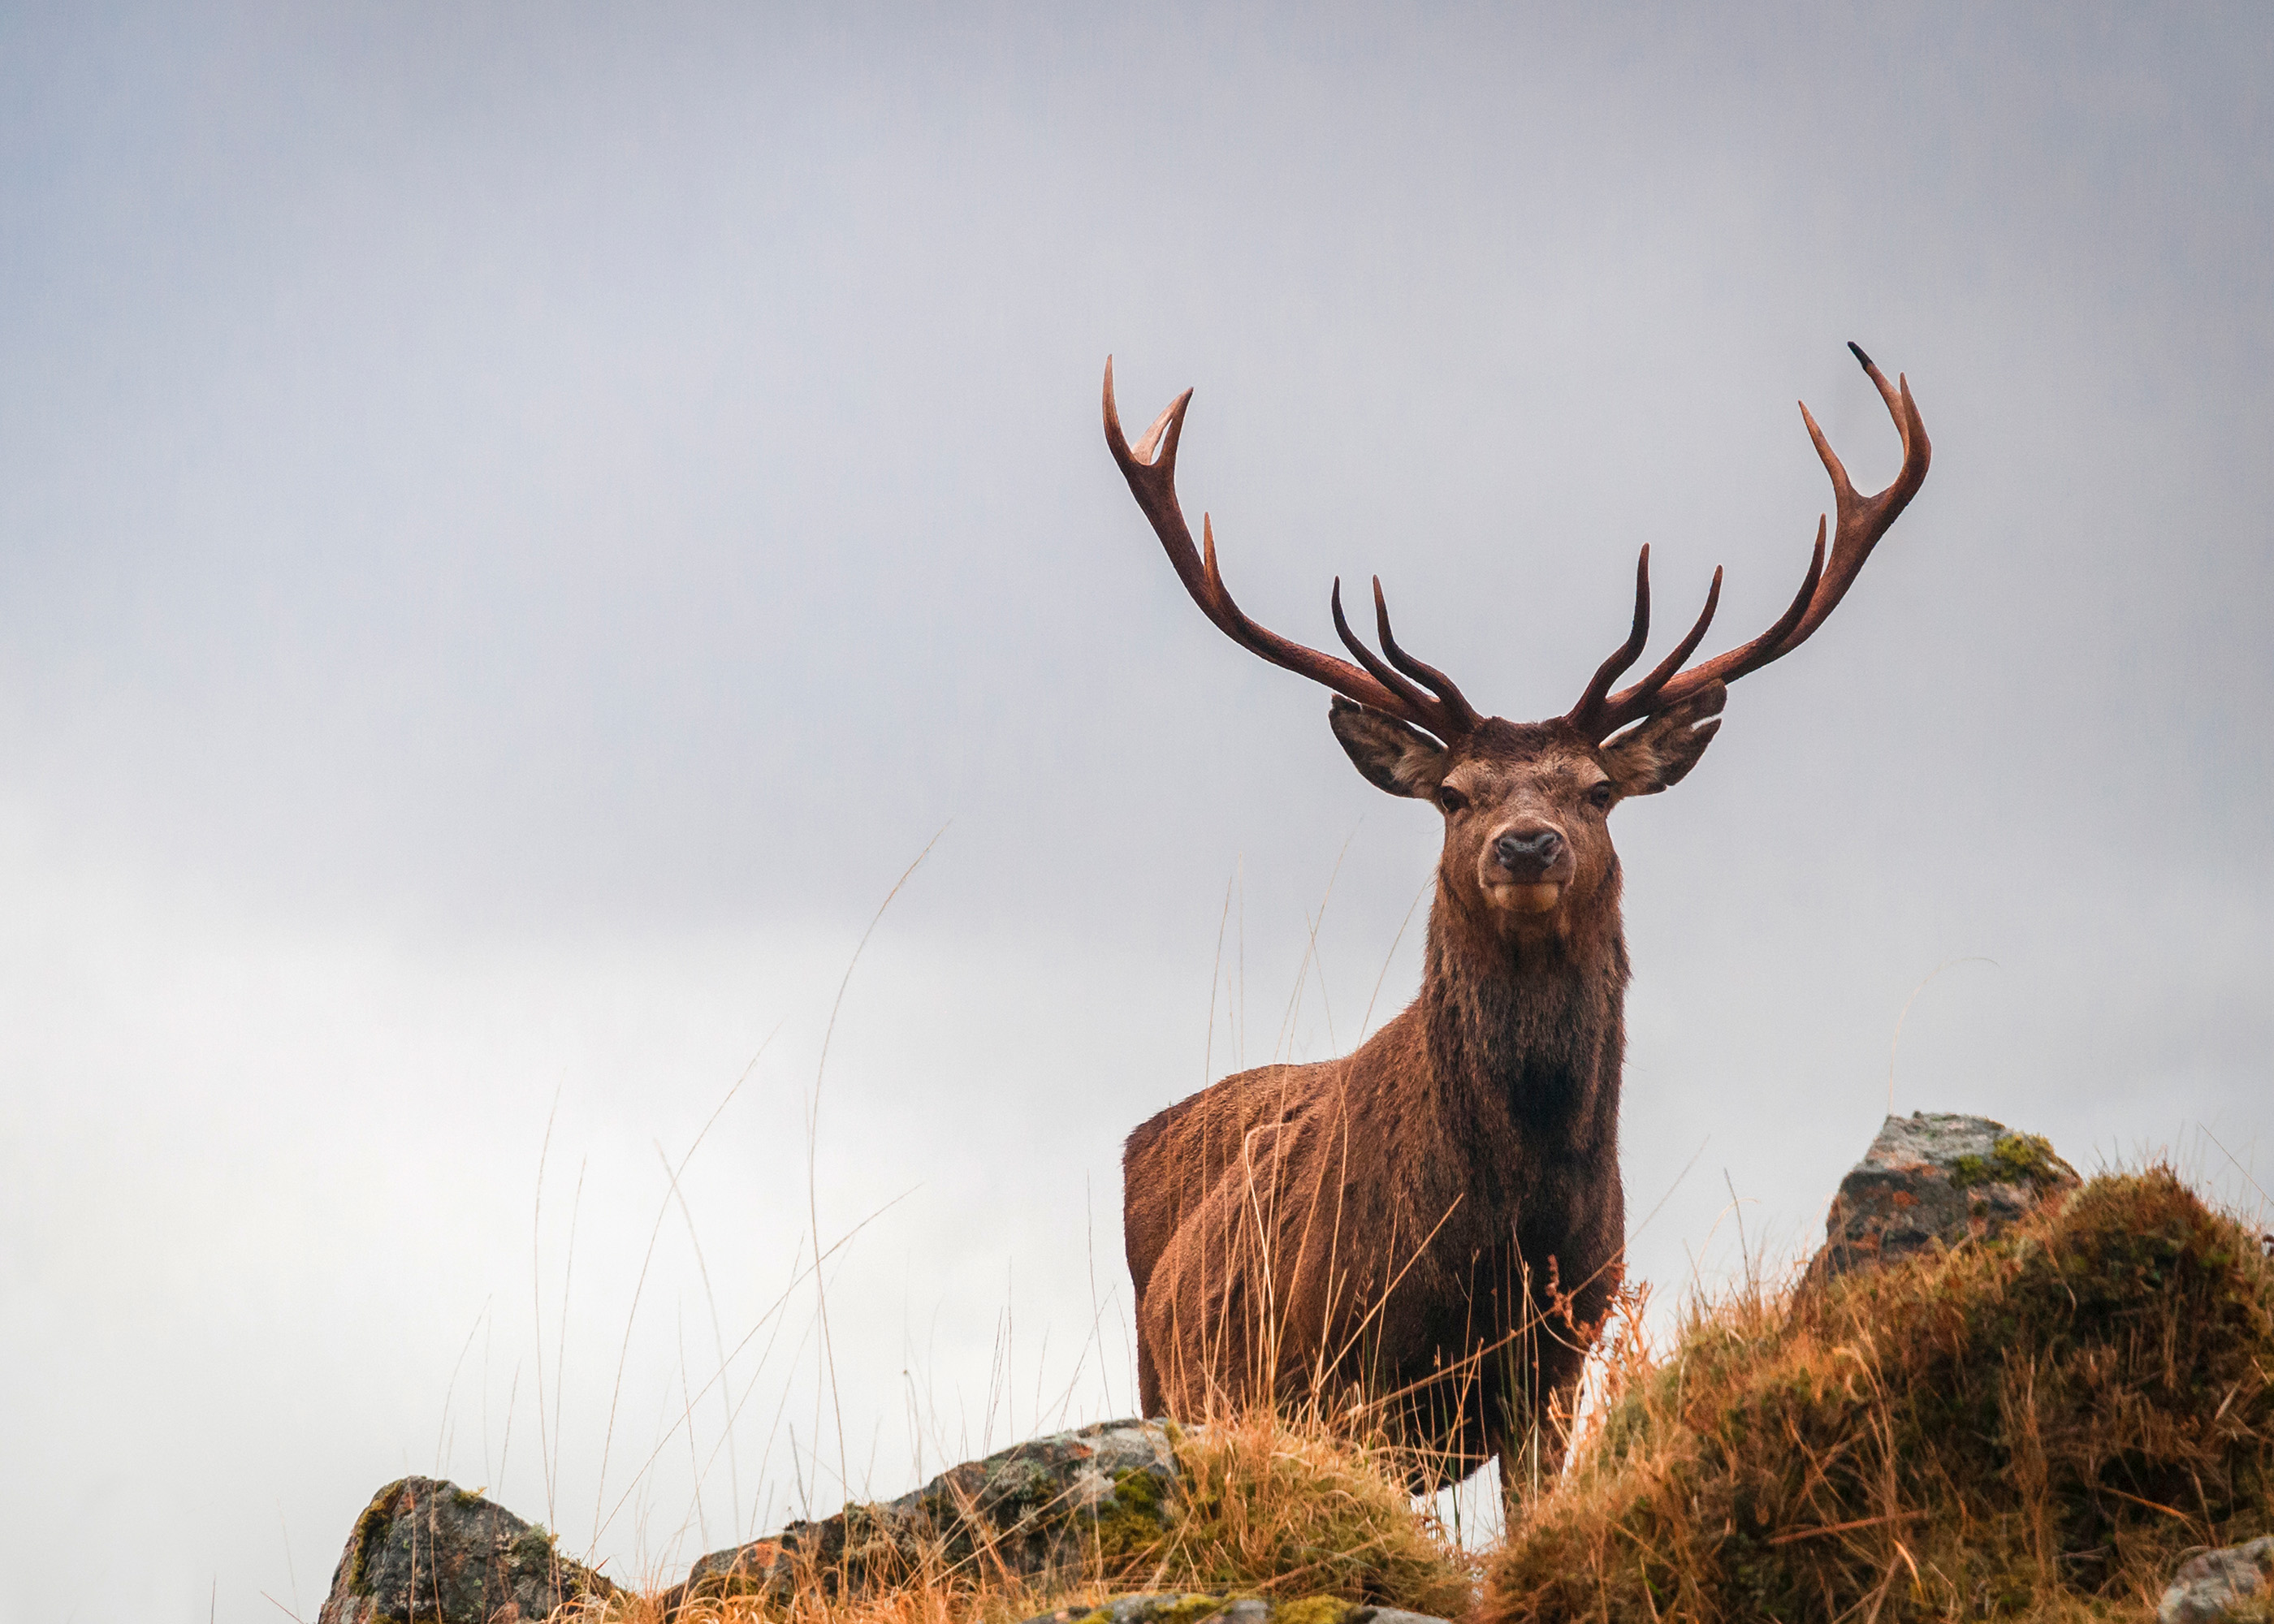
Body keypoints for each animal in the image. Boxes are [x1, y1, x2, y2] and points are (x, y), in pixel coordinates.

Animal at [1102, 344, 1929, 1490]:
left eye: (1597, 790)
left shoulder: (1561, 1351)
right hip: (1168, 1384)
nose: (1527, 845)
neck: (1506, 1226)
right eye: (1454, 795)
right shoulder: (1348, 1369)